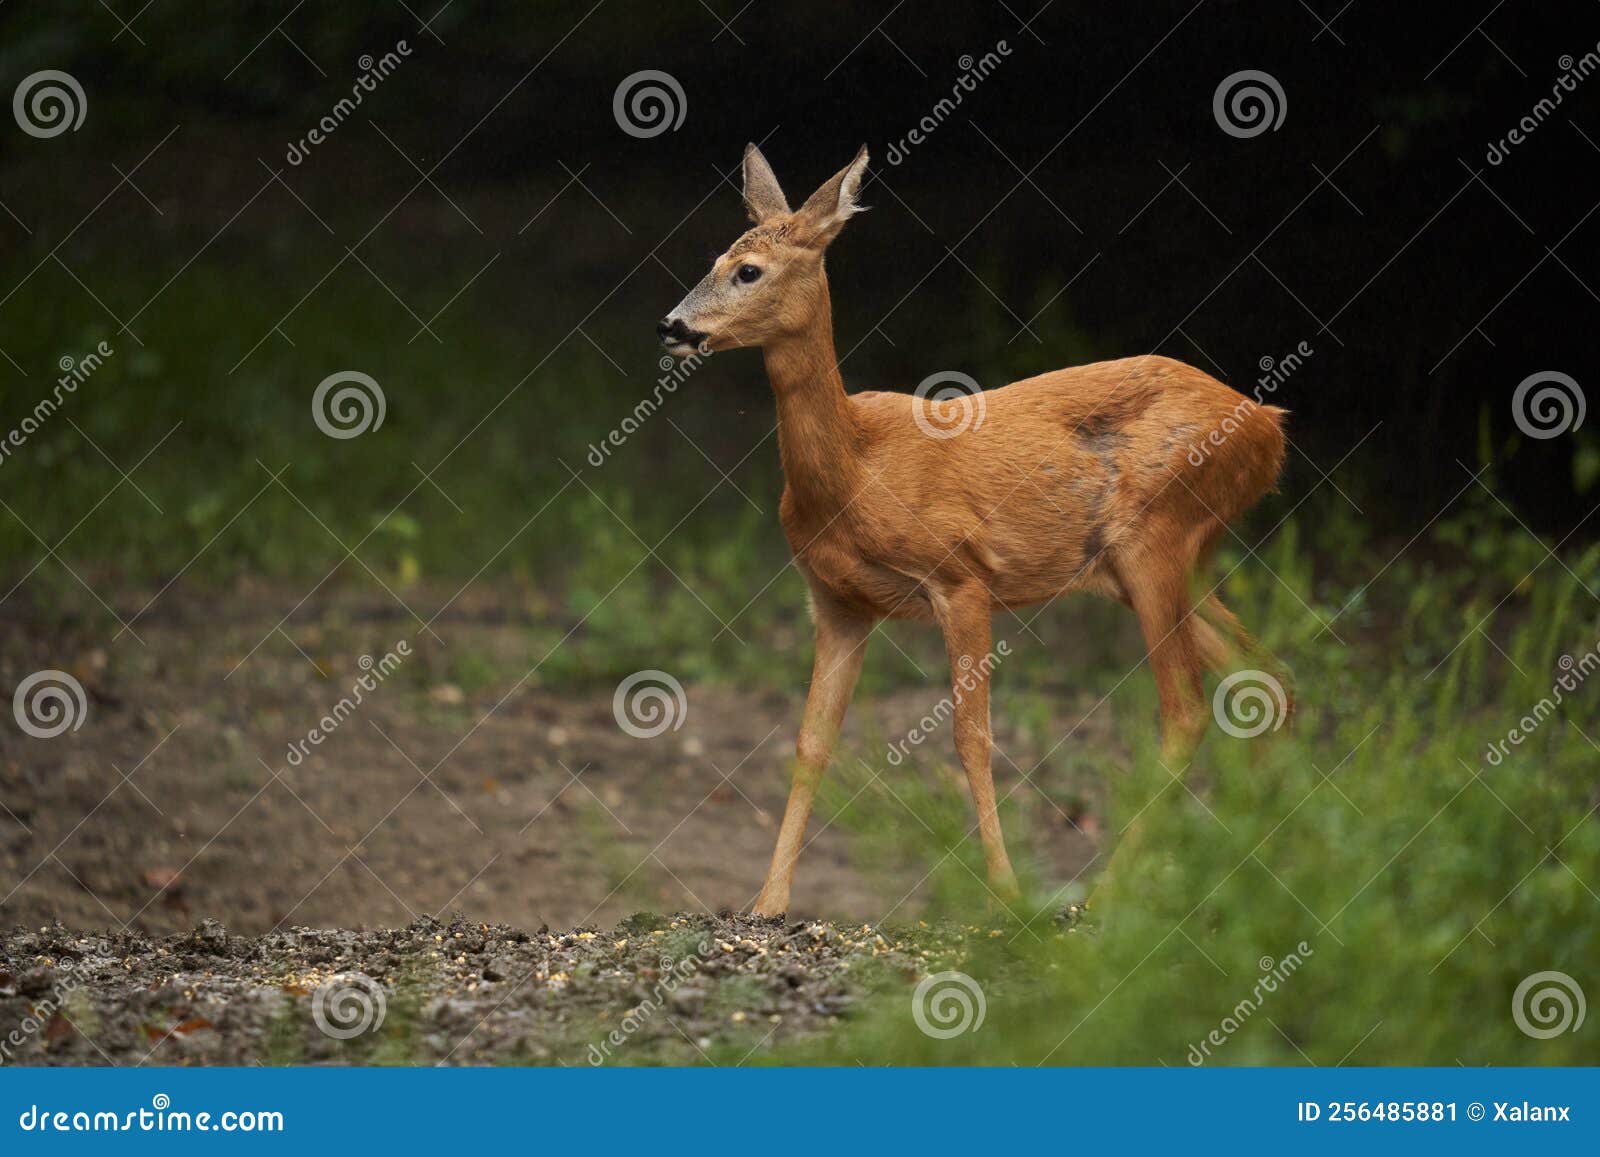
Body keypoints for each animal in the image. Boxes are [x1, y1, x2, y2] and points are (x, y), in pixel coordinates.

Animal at [657, 144, 1289, 917]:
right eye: (715, 258)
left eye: (747, 270)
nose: (671, 325)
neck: (854, 474)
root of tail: (1270, 428)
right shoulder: (837, 602)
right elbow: (809, 742)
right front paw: (767, 903)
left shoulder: (962, 576)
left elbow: (971, 738)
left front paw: (1005, 893)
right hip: (1148, 566)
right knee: (1265, 676)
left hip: (1157, 537)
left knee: (1189, 709)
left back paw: (1114, 892)